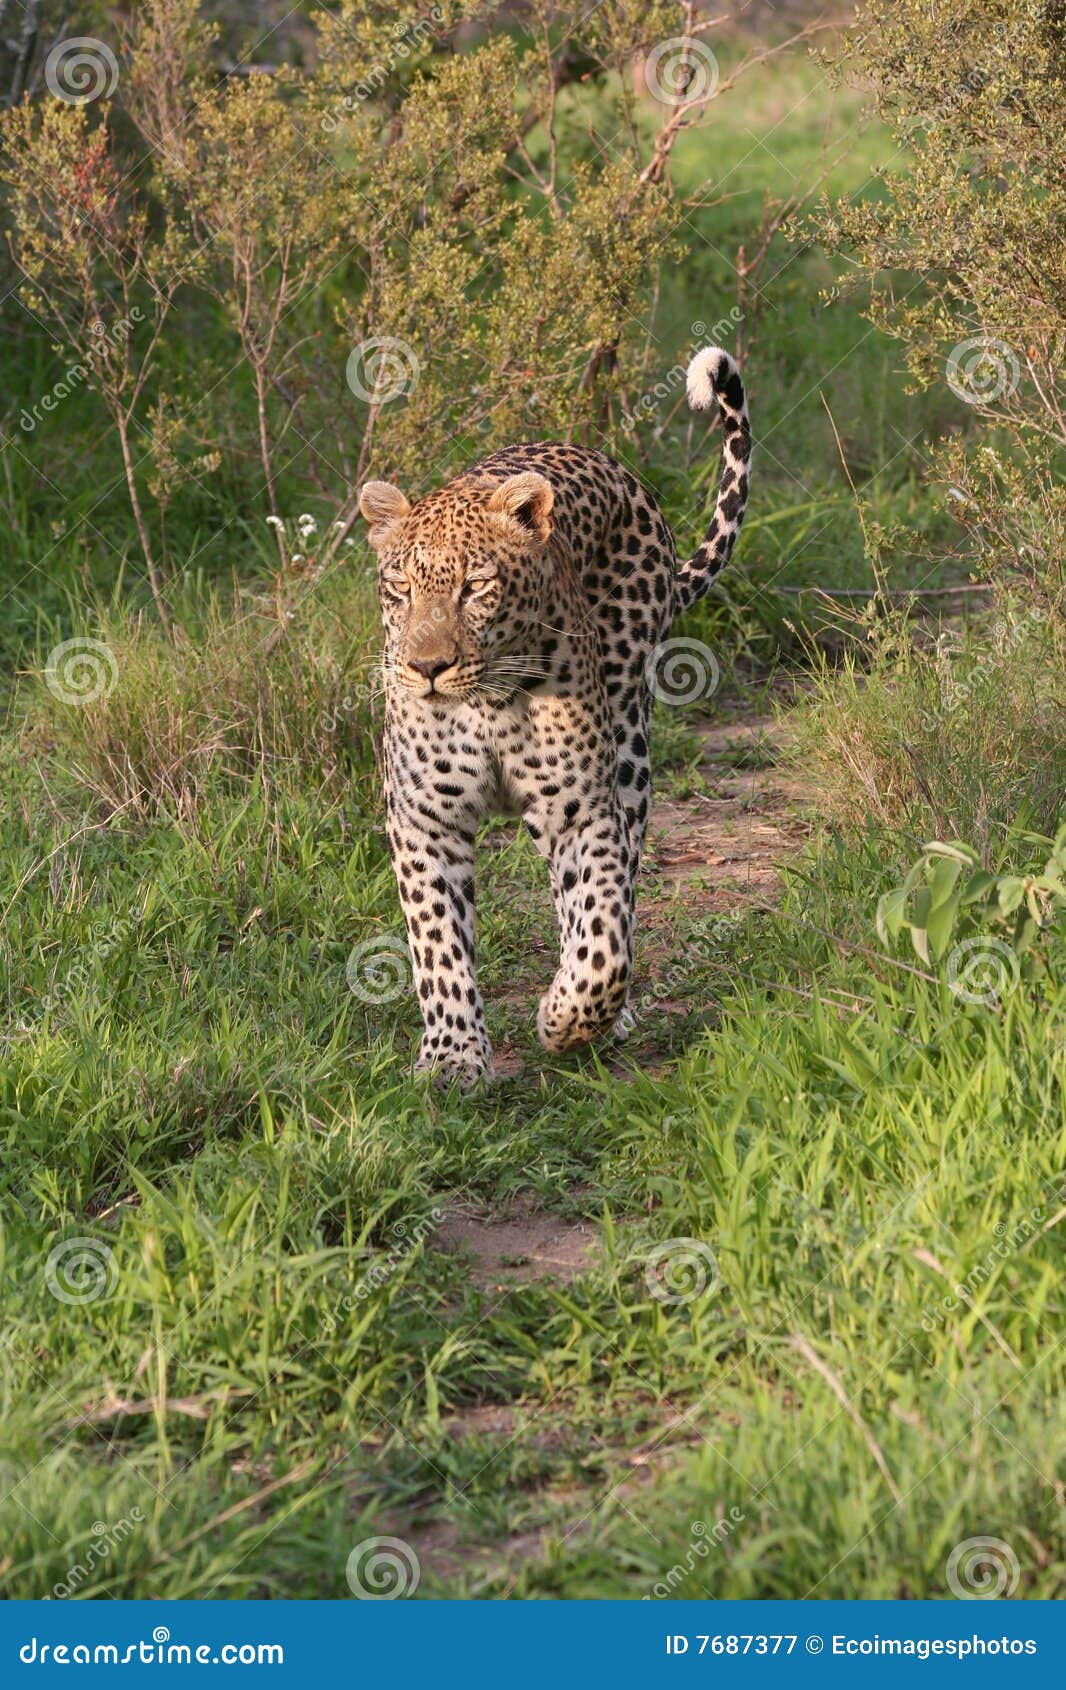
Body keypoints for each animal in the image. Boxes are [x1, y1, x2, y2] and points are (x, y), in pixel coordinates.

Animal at [358, 343, 751, 1088]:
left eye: (474, 587)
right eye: (399, 588)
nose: (426, 667)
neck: (485, 703)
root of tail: (602, 459)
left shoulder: (580, 810)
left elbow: (602, 929)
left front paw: (570, 1018)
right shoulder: (425, 819)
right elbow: (438, 943)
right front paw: (452, 1056)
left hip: (630, 744)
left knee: (615, 882)